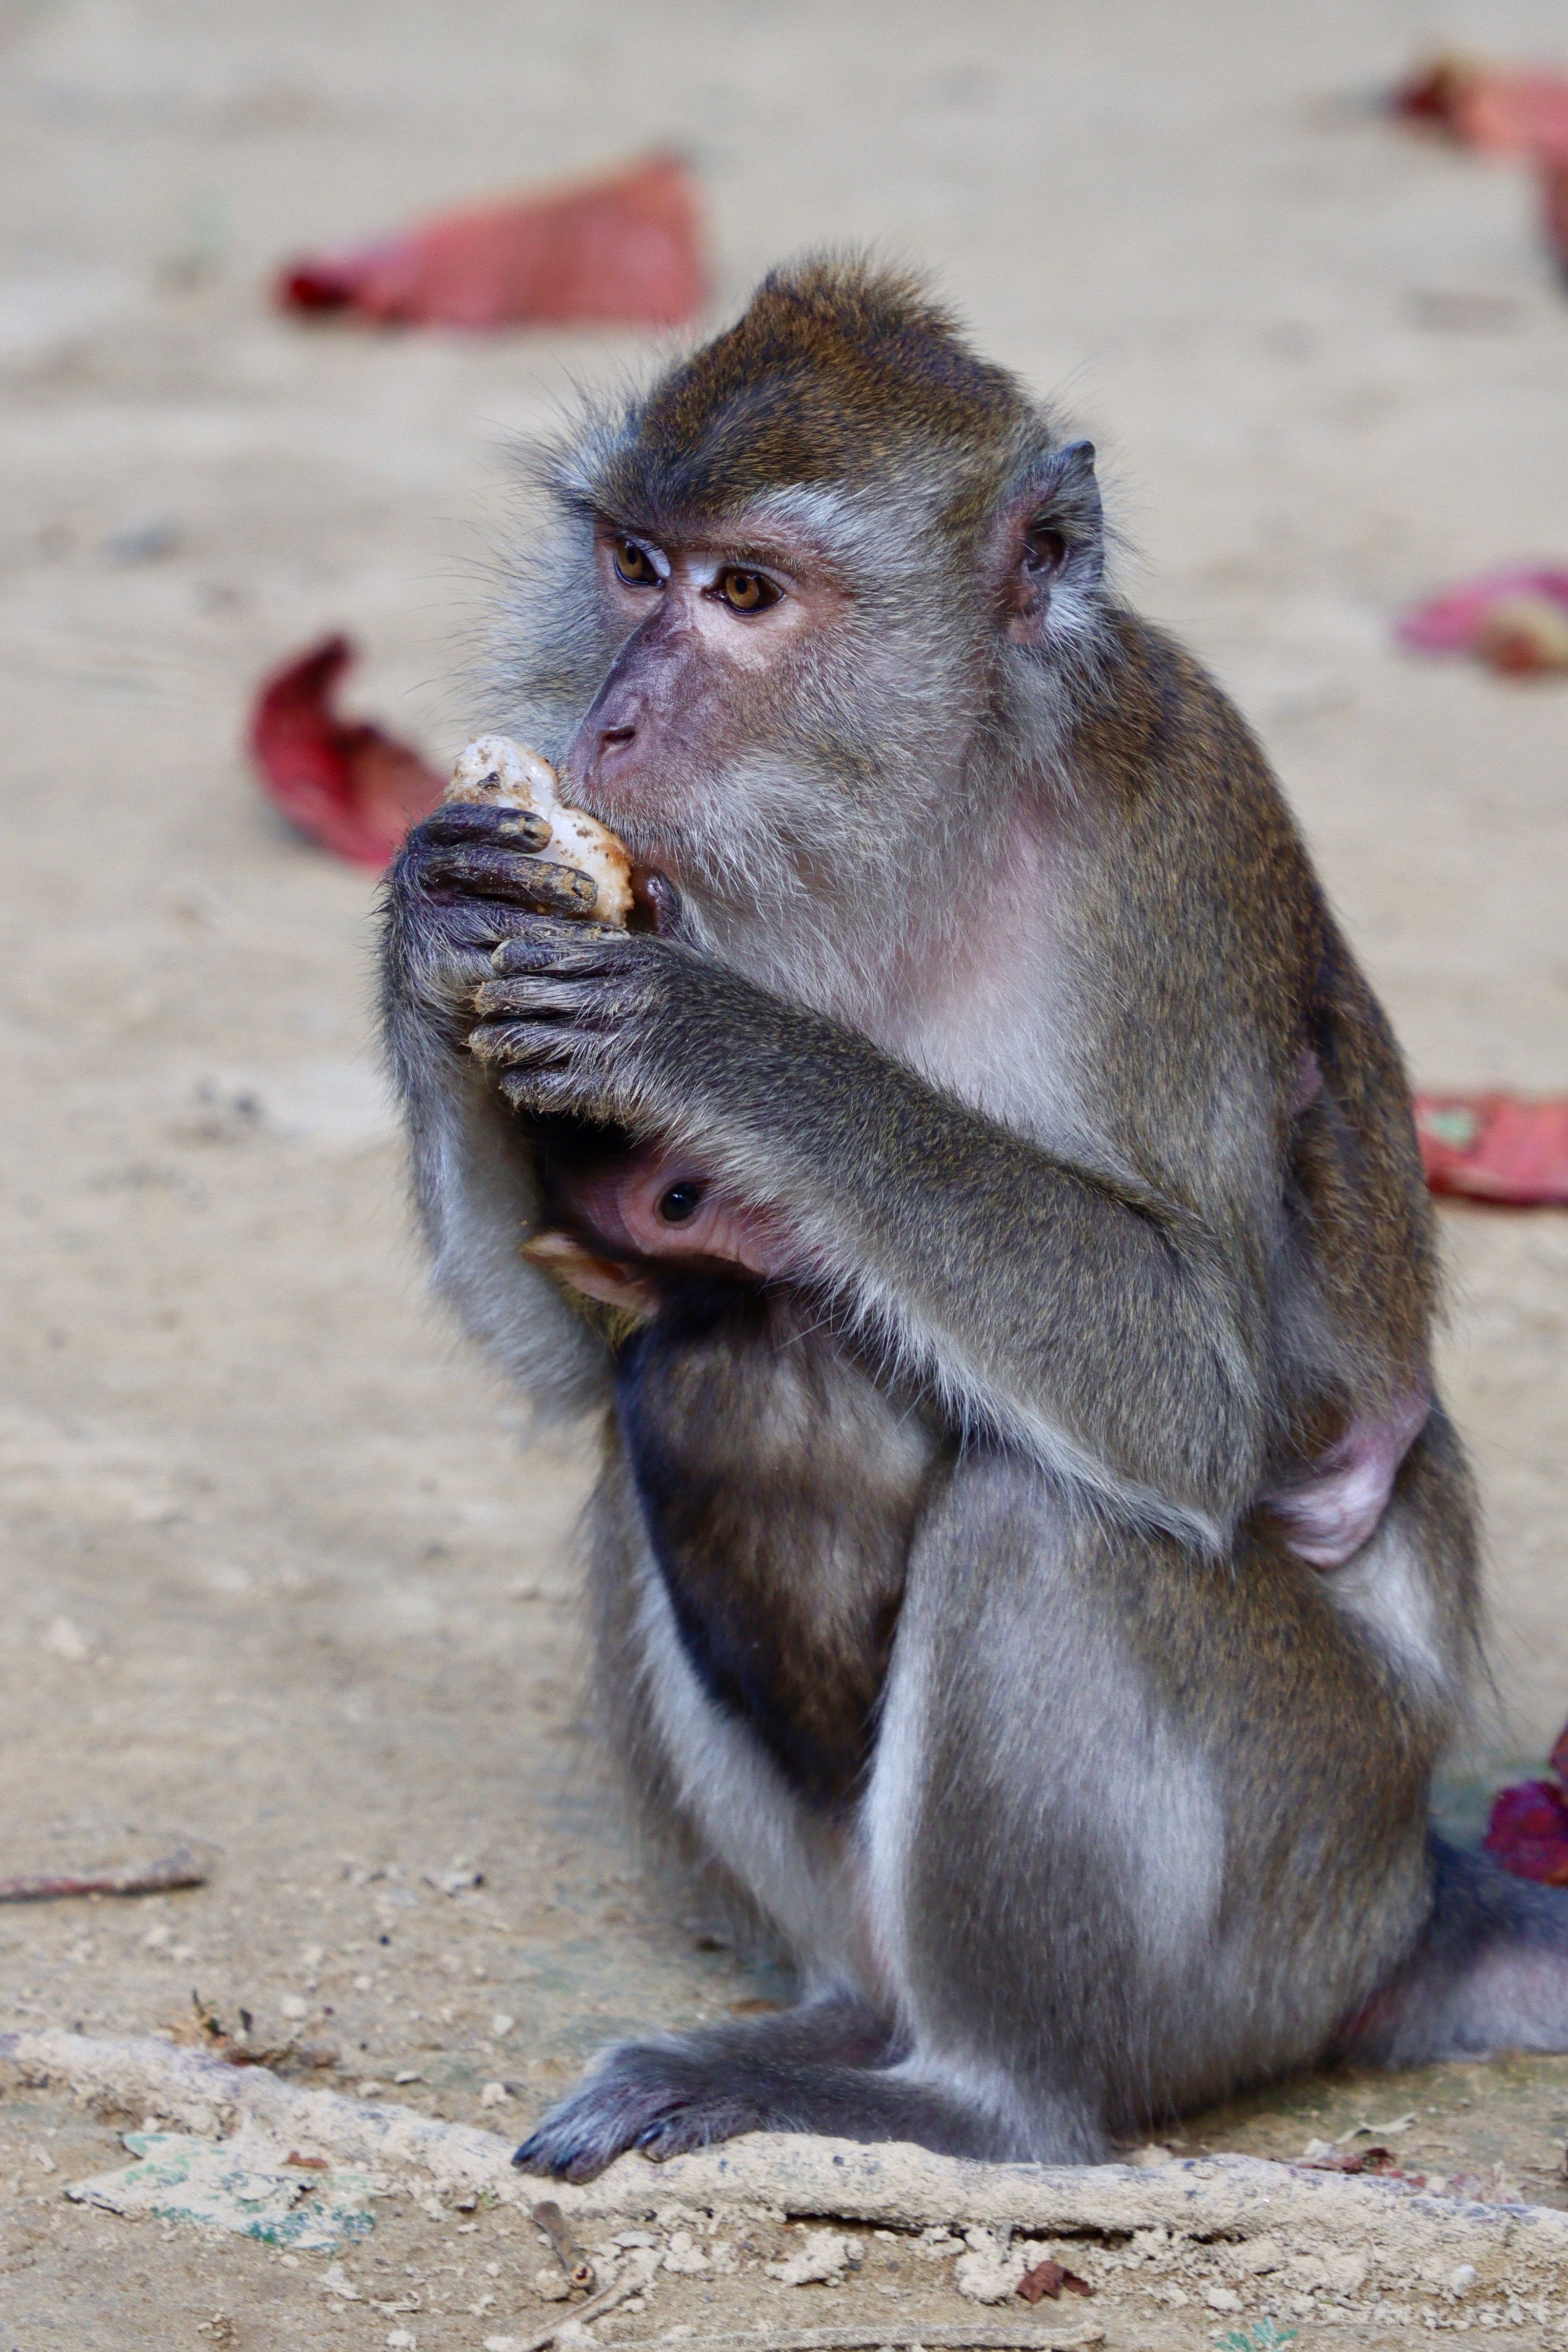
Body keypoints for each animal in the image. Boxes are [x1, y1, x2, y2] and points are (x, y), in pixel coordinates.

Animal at [381, 257, 1568, 2183]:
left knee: (1050, 1519)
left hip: (1290, 1878)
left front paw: (709, 1035)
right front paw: (439, 901)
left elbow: (1189, 1382)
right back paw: (833, 2021)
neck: (929, 825)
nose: (608, 725)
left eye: (746, 592)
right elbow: (578, 1342)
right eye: (634, 563)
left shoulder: (1167, 864)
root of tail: (1413, 1897)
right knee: (664, 1402)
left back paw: (971, 2092)